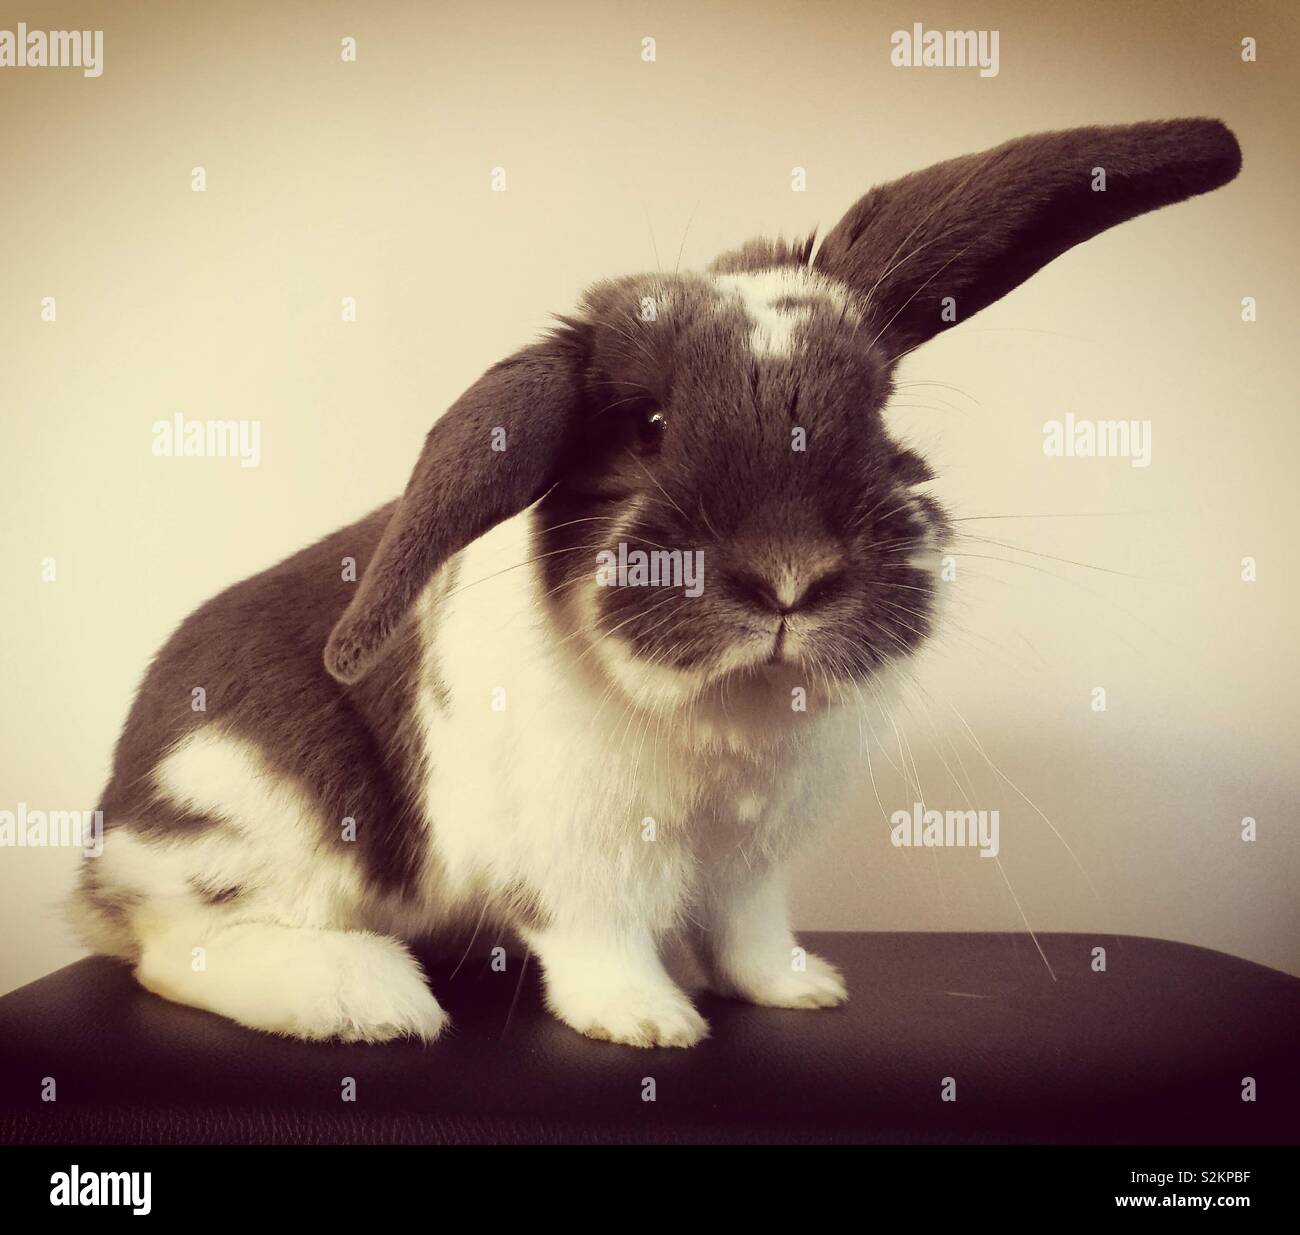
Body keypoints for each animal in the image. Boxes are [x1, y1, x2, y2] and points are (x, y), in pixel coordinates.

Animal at [70, 119, 1241, 1046]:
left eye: (877, 415)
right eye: (647, 427)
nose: (790, 576)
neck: (729, 709)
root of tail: (103, 846)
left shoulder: (754, 863)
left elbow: (748, 932)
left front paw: (799, 989)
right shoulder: (576, 859)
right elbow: (601, 939)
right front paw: (647, 1022)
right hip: (255, 814)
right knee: (177, 949)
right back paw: (366, 996)